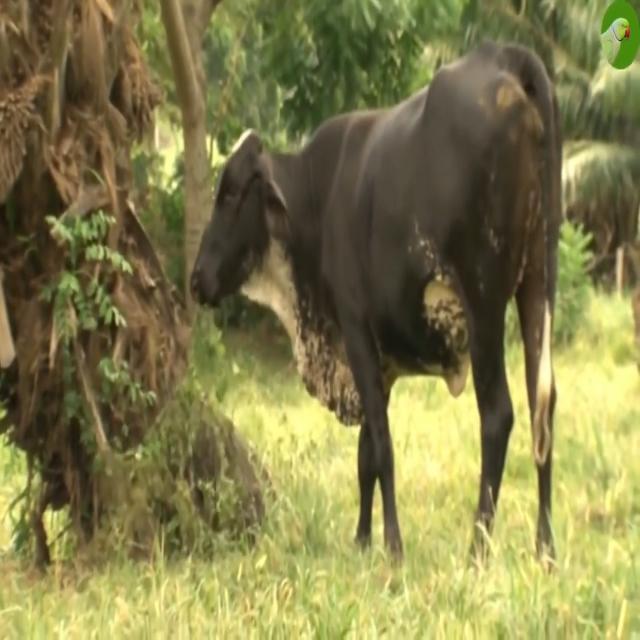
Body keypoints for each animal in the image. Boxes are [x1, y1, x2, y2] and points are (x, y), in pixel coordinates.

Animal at [190, 41, 562, 563]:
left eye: (229, 194)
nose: (196, 279)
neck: (315, 197)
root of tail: (505, 60)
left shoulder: (356, 332)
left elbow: (381, 446)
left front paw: (392, 546)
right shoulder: (377, 362)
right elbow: (366, 453)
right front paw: (363, 540)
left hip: (484, 302)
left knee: (499, 415)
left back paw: (478, 548)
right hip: (538, 285)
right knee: (542, 404)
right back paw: (545, 548)